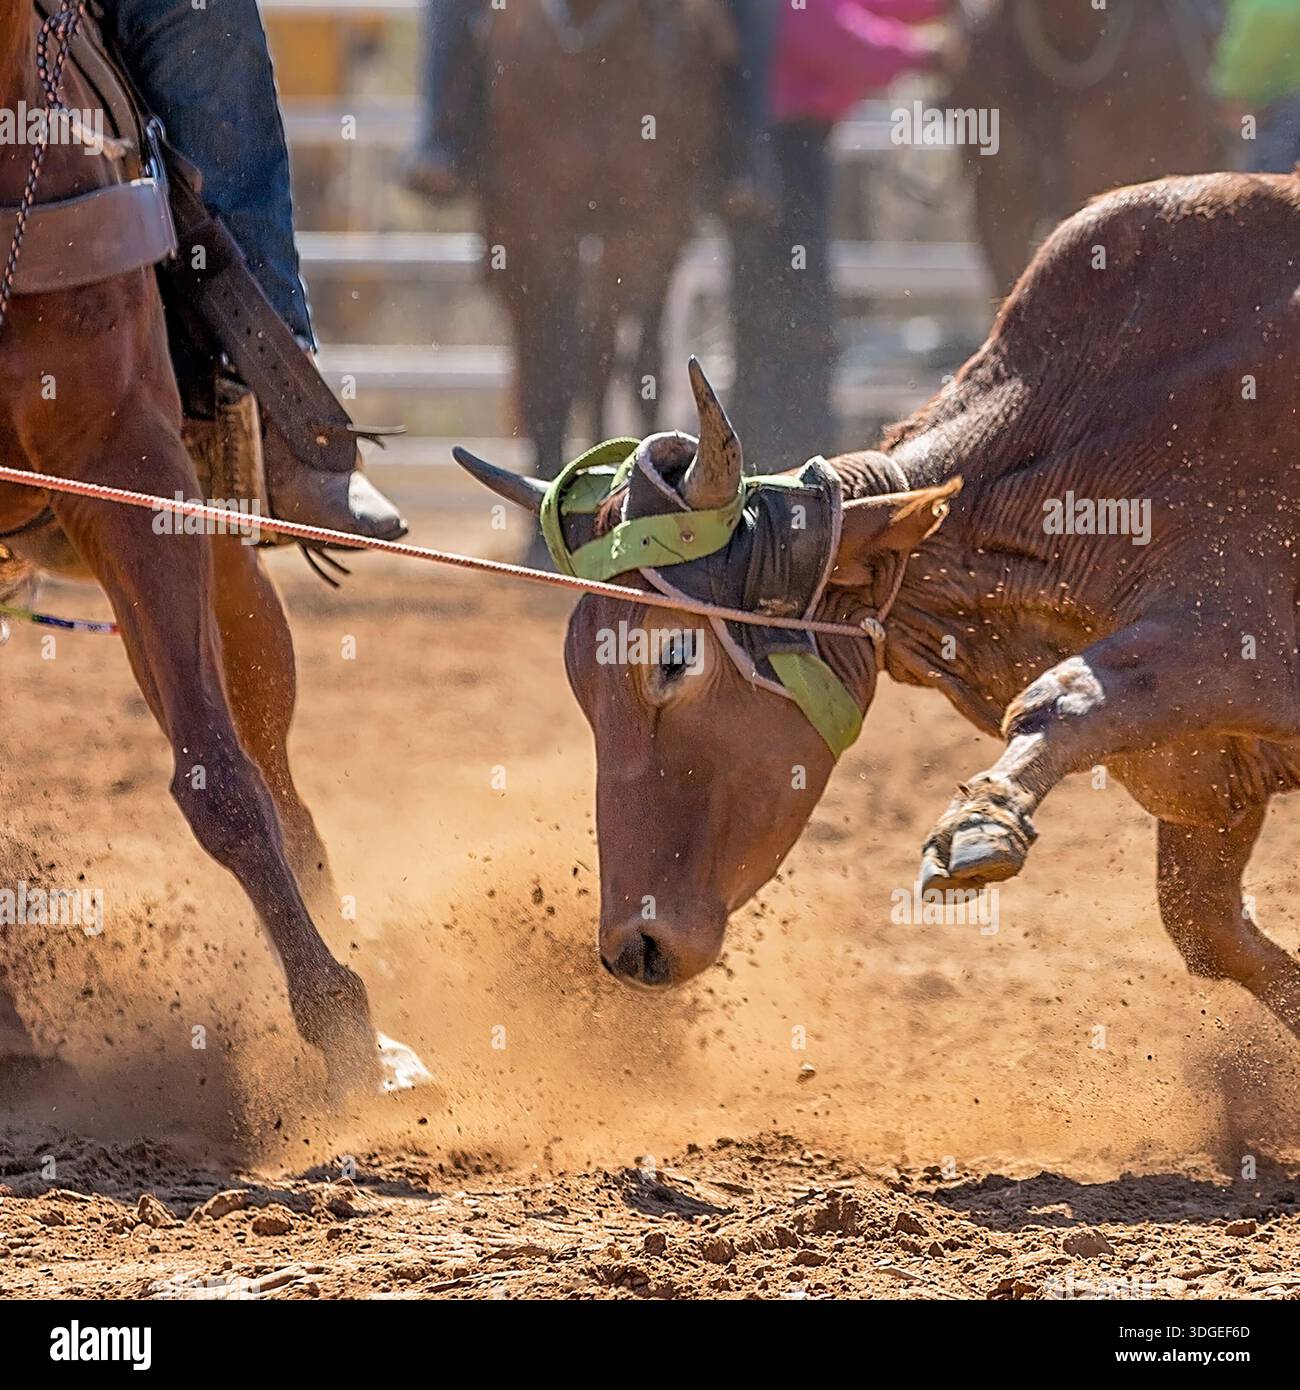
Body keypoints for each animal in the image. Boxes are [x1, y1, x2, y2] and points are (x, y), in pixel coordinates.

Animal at [455, 171, 1300, 1040]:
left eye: (675, 657)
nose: (635, 946)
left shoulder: (1239, 645)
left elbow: (1068, 692)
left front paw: (976, 825)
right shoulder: (1207, 782)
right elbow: (1206, 928)